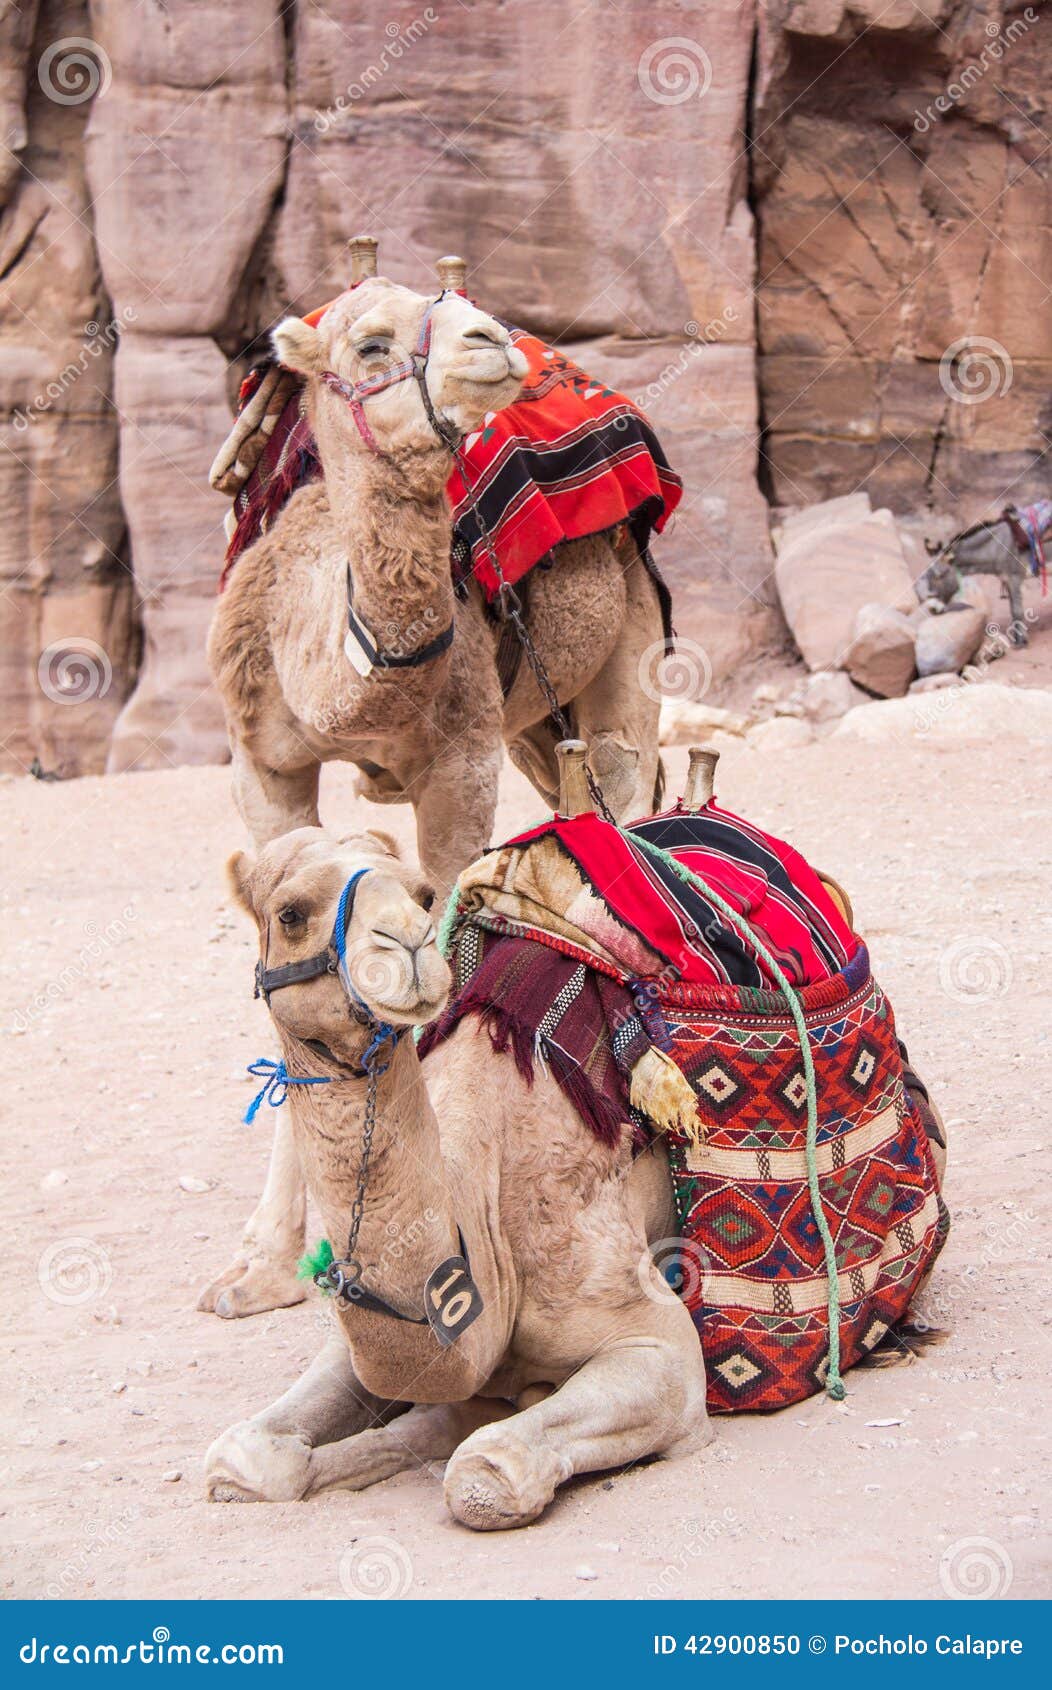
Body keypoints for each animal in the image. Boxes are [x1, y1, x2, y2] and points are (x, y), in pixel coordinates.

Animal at [202, 249, 668, 1320]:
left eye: (457, 306)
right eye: (372, 344)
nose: (496, 343)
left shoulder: (460, 758)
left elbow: (449, 935)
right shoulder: (263, 764)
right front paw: (258, 1265)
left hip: (625, 639)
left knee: (625, 791)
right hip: (539, 720)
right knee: (577, 801)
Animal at [204, 822, 711, 1529]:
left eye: (422, 894)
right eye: (291, 913)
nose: (408, 942)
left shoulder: (661, 1345)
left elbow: (484, 1470)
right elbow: (245, 1459)